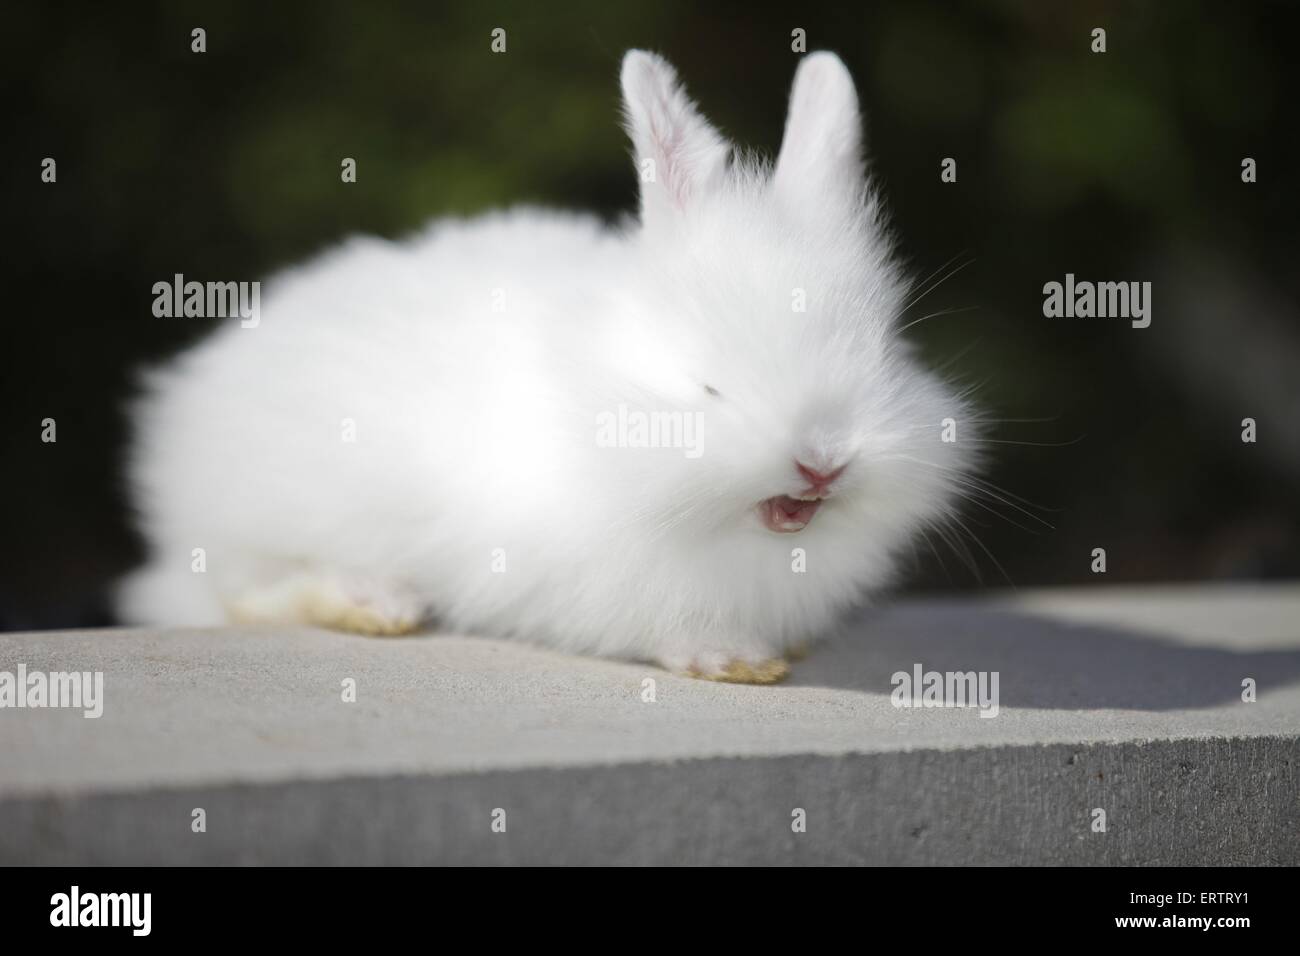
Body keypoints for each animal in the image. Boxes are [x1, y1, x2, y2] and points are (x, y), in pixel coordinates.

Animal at [117, 50, 977, 684]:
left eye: (886, 351)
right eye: (707, 384)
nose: (822, 462)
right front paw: (730, 660)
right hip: (260, 521)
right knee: (246, 594)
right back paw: (376, 601)